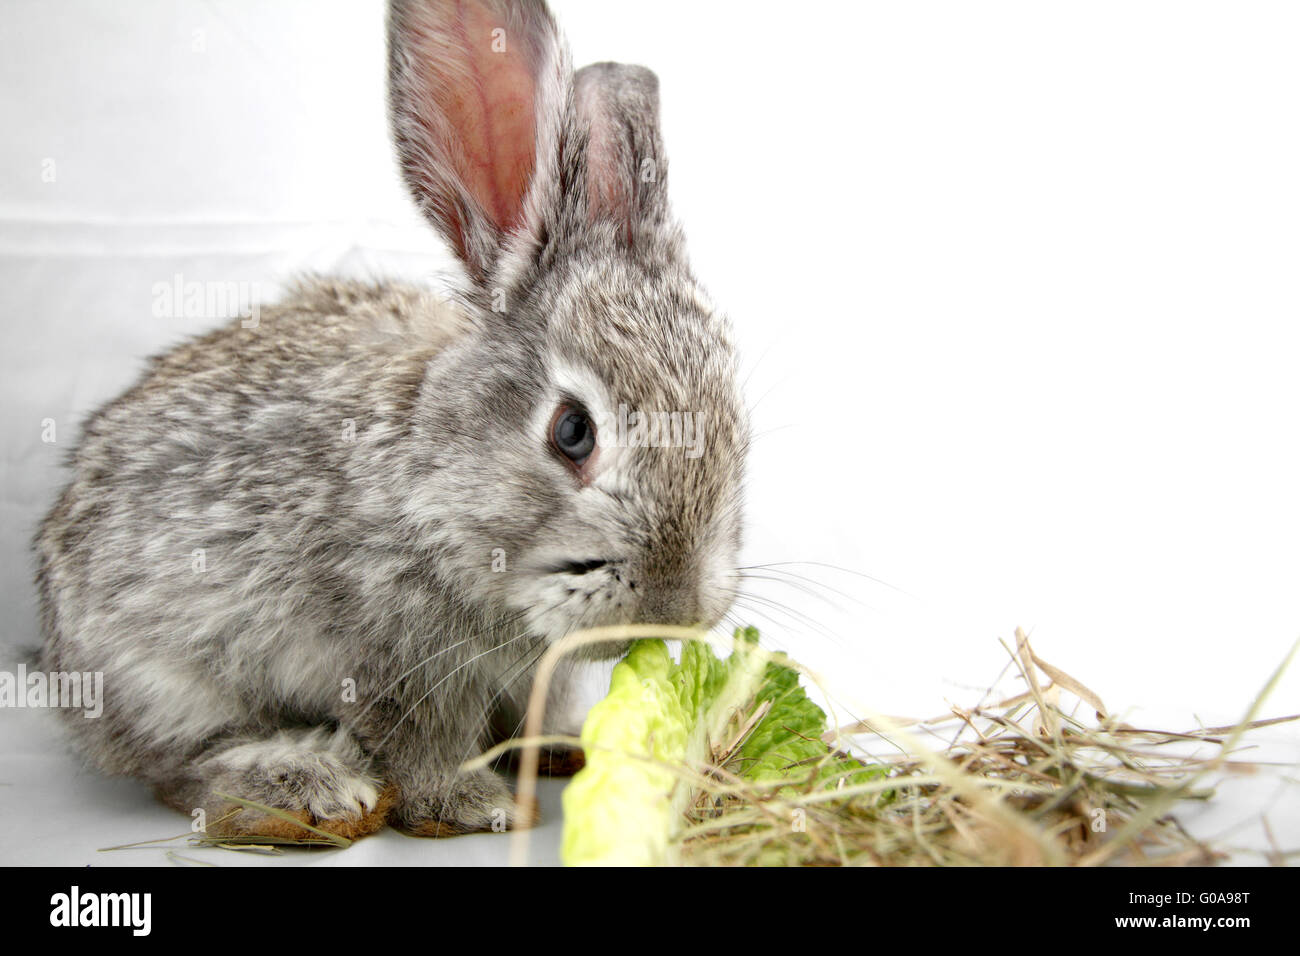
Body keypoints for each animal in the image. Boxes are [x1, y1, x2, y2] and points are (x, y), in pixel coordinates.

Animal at [33, 0, 748, 840]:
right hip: (160, 677)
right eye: (572, 432)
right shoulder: (398, 658)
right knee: (184, 764)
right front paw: (475, 807)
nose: (677, 605)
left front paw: (560, 748)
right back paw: (311, 785)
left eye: (734, 414)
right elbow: (422, 743)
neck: (433, 481)